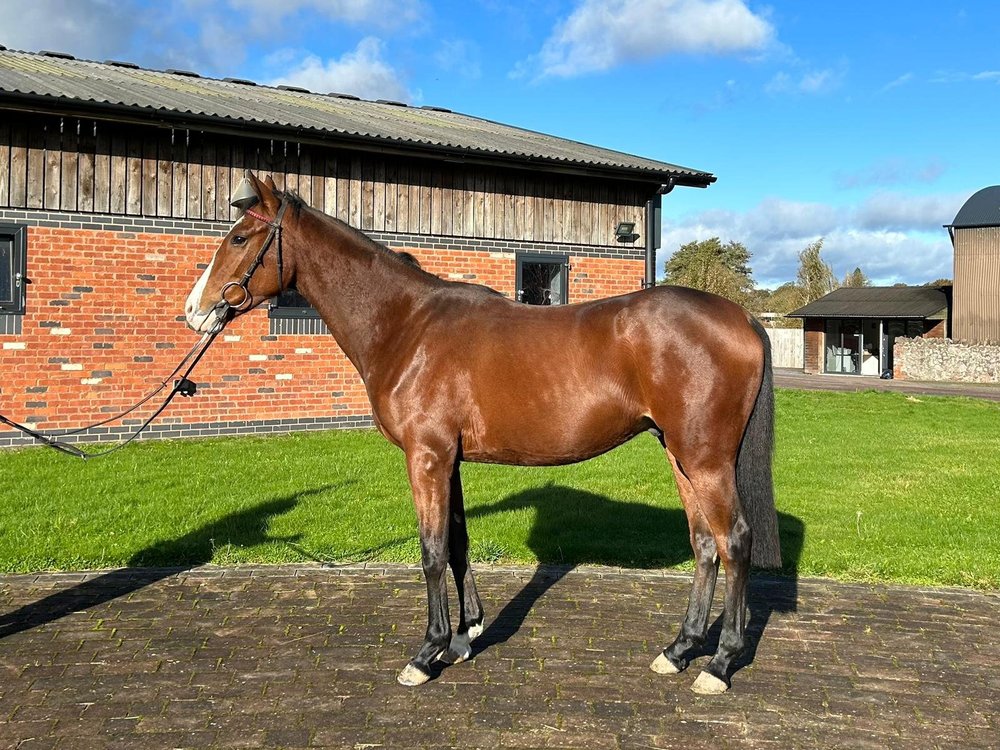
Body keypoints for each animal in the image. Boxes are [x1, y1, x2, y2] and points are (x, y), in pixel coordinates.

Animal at [184, 172, 781, 695]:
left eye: (240, 237)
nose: (194, 312)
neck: (407, 326)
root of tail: (744, 319)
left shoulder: (426, 456)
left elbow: (430, 550)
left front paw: (426, 652)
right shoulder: (447, 459)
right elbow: (457, 544)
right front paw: (465, 635)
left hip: (705, 461)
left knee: (733, 542)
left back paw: (720, 664)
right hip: (680, 456)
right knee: (704, 545)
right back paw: (678, 651)